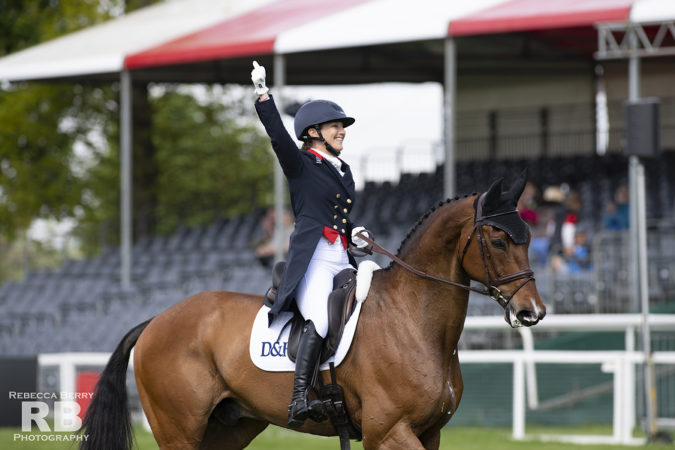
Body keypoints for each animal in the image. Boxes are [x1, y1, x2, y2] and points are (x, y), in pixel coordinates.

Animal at [79, 173, 546, 450]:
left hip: (229, 427)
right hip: (180, 431)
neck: (414, 321)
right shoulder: (388, 433)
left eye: (528, 236)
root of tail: (155, 321)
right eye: (499, 241)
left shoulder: (430, 434)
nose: (533, 313)